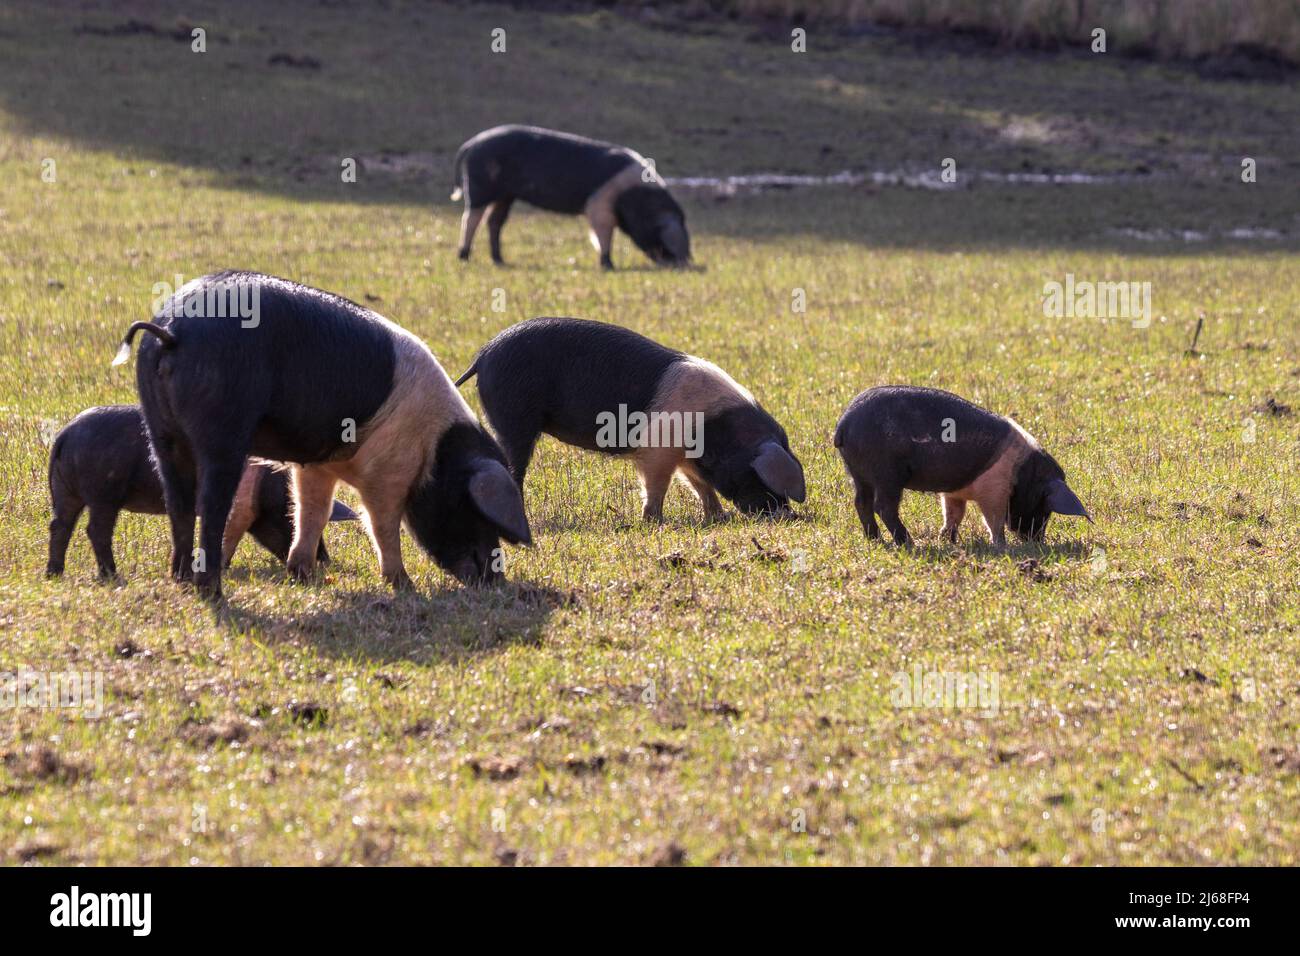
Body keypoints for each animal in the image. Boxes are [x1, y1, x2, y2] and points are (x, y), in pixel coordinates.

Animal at [45, 404, 357, 579]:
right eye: (290, 518)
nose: (325, 561)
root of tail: (65, 436)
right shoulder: (239, 507)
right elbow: (228, 536)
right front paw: (221, 568)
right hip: (103, 493)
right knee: (95, 530)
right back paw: (111, 575)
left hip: (66, 493)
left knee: (60, 525)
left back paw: (54, 573)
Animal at [114, 271, 531, 598]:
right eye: (471, 507)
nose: (495, 580)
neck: (434, 448)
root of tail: (171, 331)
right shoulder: (387, 470)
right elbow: (381, 521)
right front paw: (404, 585)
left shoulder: (316, 464)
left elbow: (313, 509)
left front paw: (304, 576)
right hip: (223, 430)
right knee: (213, 505)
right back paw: (211, 590)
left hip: (161, 430)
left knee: (179, 501)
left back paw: (182, 579)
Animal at [451, 125, 691, 270]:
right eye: (659, 231)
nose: (684, 263)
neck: (635, 196)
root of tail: (472, 143)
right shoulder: (598, 204)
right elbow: (603, 234)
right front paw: (608, 266)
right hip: (480, 187)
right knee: (470, 218)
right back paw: (464, 257)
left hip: (506, 194)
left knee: (494, 222)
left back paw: (499, 260)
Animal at [455, 317, 805, 522]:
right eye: (757, 475)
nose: (781, 514)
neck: (713, 426)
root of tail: (483, 355)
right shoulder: (657, 448)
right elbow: (657, 485)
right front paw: (653, 521)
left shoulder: (686, 455)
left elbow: (700, 483)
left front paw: (717, 517)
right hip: (514, 416)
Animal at [833, 385, 1091, 547]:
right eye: (1044, 508)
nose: (1037, 541)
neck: (1024, 474)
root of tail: (843, 425)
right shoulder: (994, 489)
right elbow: (993, 519)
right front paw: (1001, 546)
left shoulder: (954, 492)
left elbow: (954, 514)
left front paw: (947, 538)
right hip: (886, 473)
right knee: (883, 507)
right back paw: (908, 543)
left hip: (858, 473)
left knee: (861, 503)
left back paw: (875, 540)